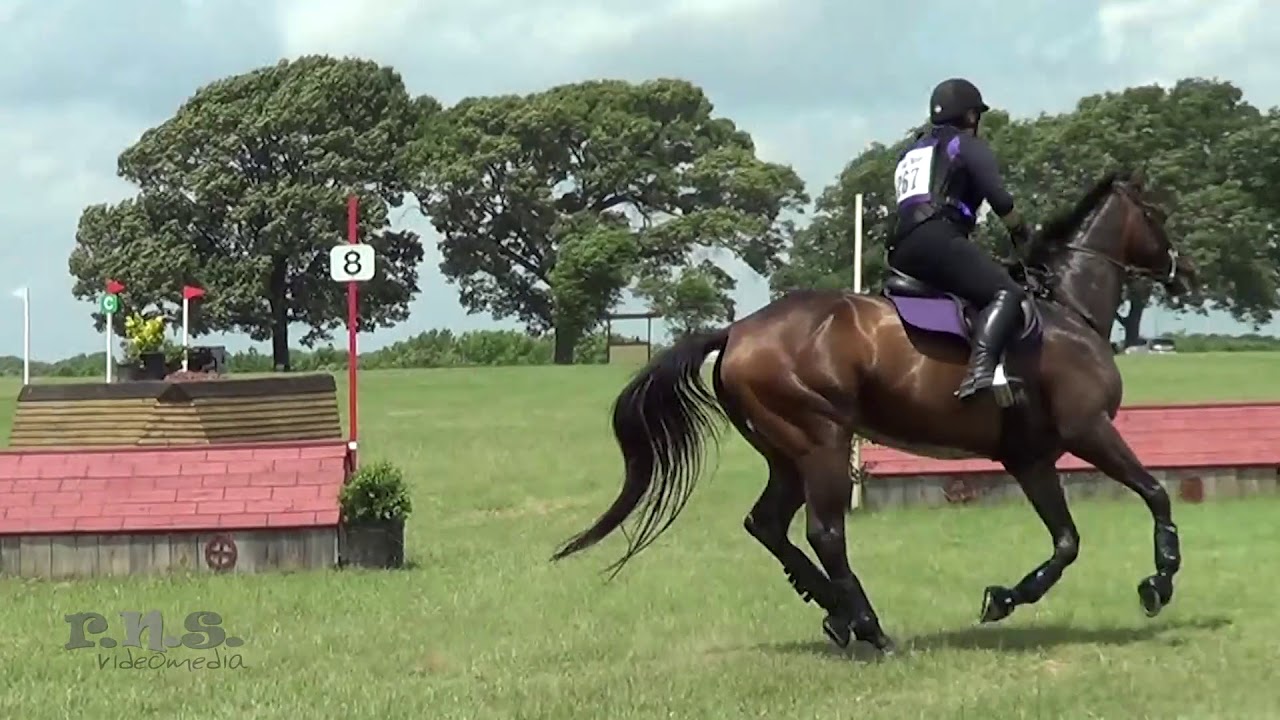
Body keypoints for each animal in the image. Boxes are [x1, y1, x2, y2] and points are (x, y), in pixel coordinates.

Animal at [551, 168, 1197, 655]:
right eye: (1157, 215)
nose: (1185, 272)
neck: (1066, 311)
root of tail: (737, 331)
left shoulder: (1031, 458)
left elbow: (1066, 543)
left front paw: (1005, 599)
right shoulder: (1089, 431)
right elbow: (1154, 493)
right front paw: (1160, 580)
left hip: (787, 451)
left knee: (767, 524)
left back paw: (836, 611)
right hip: (823, 440)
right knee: (825, 531)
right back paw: (870, 627)